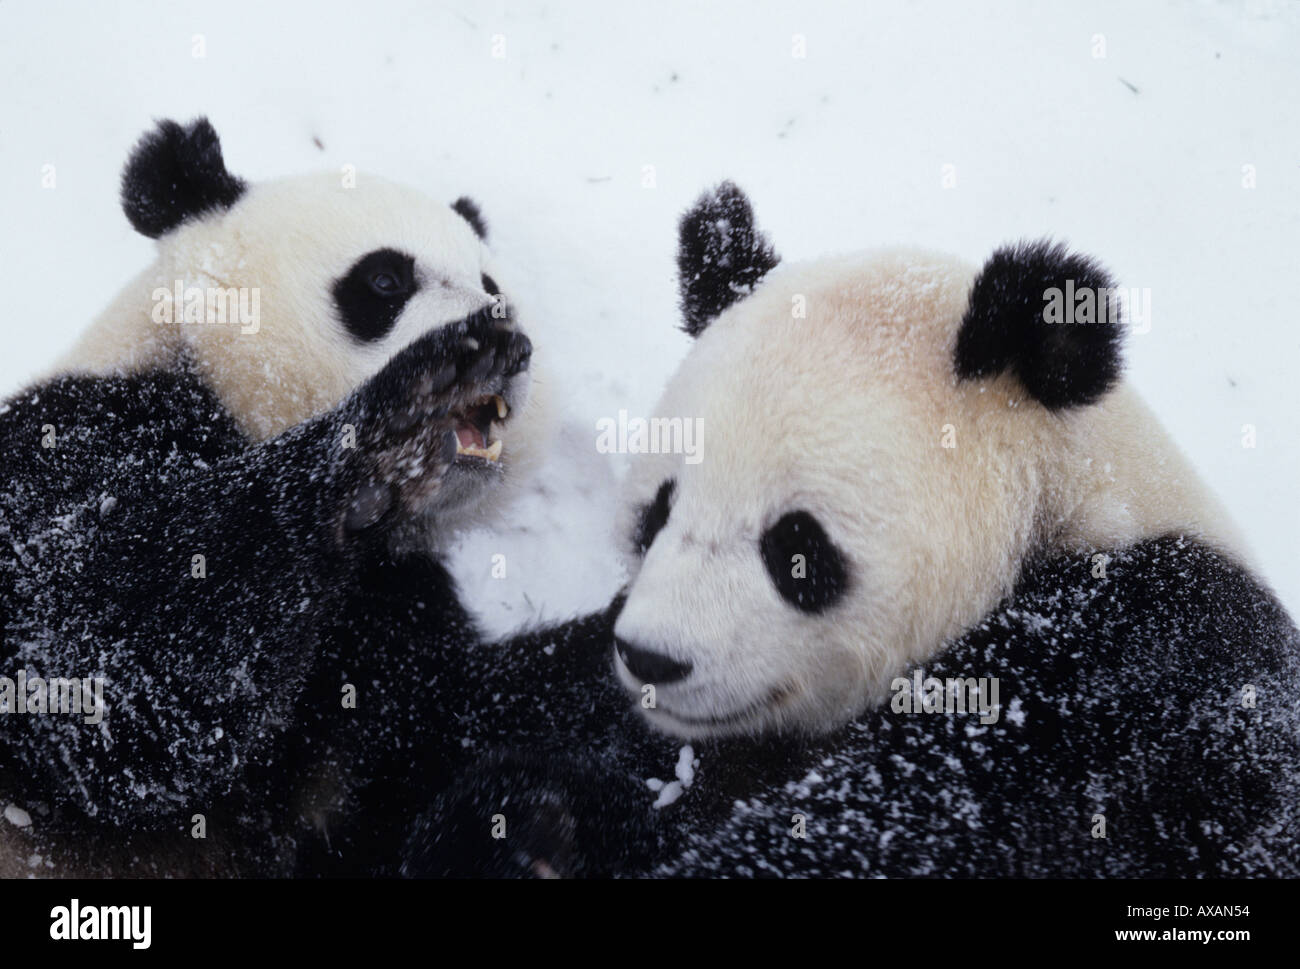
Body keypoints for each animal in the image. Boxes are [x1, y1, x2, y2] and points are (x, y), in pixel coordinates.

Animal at [0, 117, 559, 877]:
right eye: (385, 278)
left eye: (492, 282)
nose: (510, 339)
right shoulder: (69, 433)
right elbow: (95, 679)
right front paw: (396, 427)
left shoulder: (400, 609)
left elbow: (456, 728)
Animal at [407, 181, 1300, 877]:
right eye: (658, 512)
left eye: (796, 550)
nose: (651, 657)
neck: (1061, 508)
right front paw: (527, 817)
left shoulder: (1120, 681)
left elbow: (904, 825)